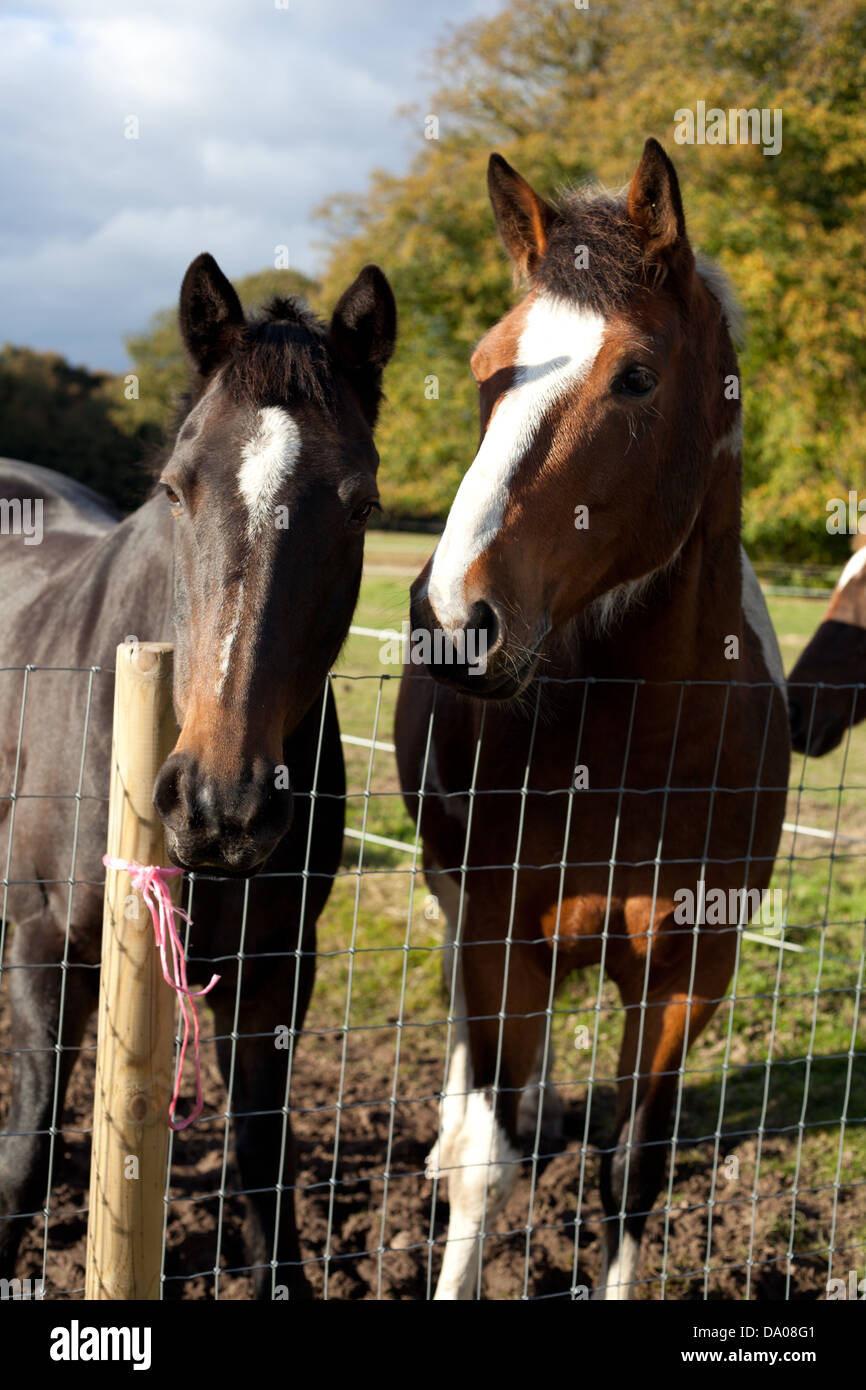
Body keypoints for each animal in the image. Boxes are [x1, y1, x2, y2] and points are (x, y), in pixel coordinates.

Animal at [0, 251, 396, 1298]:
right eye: (176, 489)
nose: (223, 806)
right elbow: (28, 1146)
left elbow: (263, 1162)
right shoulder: (44, 942)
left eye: (362, 505)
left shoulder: (275, 974)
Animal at [394, 139, 791, 1300]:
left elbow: (633, 1170)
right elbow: (485, 1170)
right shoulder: (498, 937)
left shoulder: (688, 976)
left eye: (636, 376)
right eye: (486, 367)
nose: (451, 620)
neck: (636, 753)